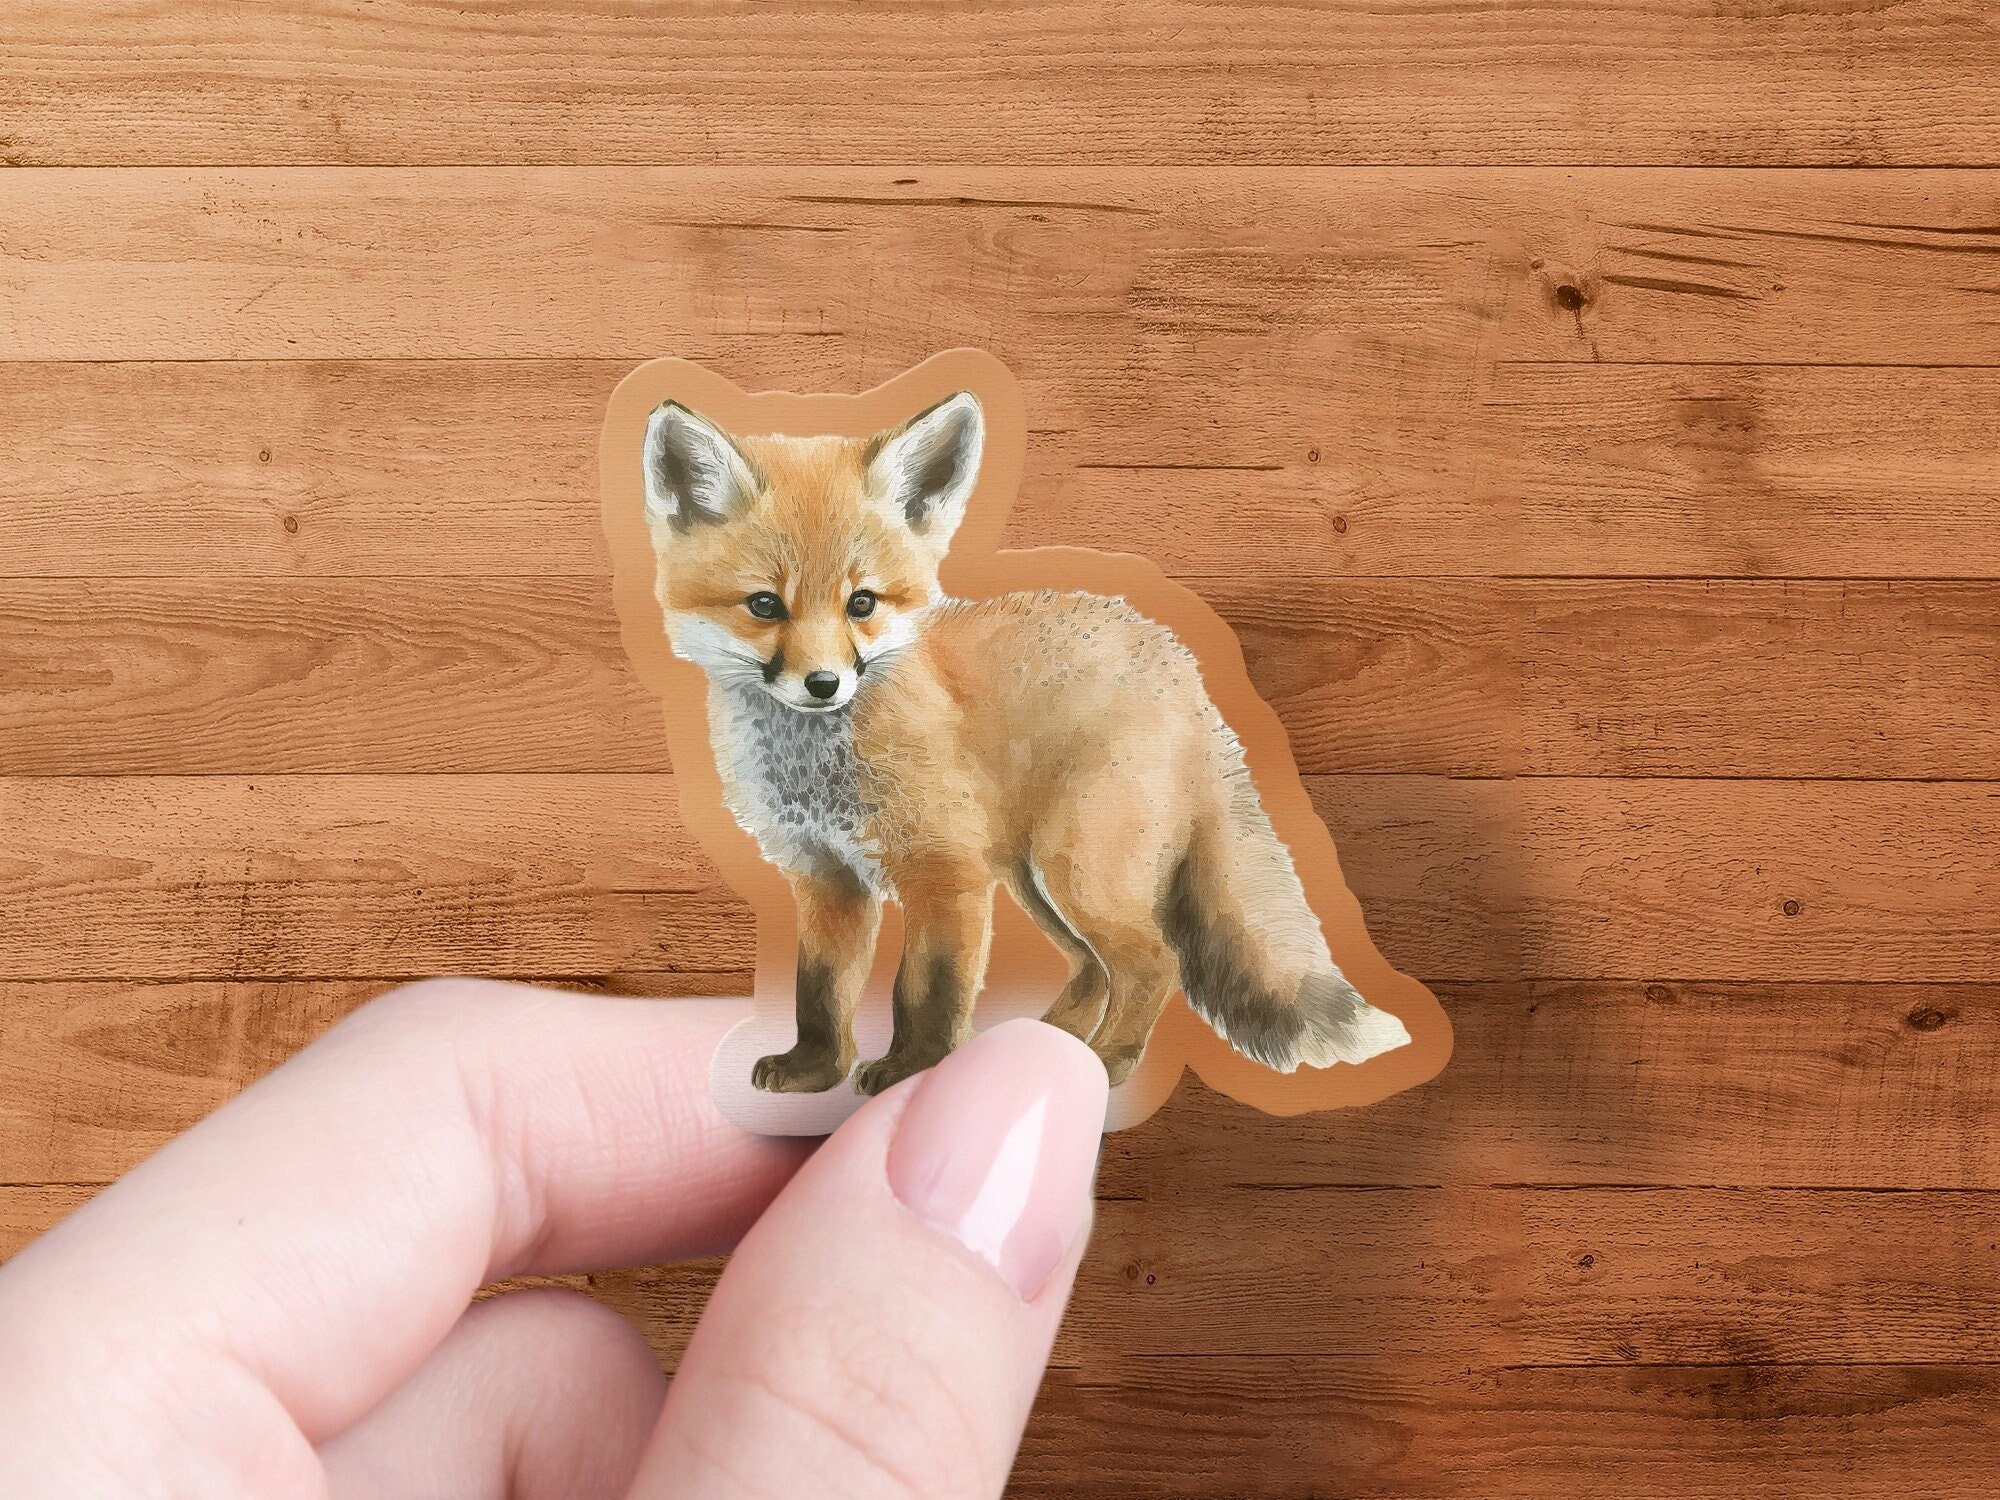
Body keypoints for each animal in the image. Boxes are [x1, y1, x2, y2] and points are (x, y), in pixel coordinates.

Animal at [641, 388, 1412, 1094]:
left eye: (862, 603)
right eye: (764, 605)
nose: (824, 683)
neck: (816, 766)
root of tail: (1182, 668)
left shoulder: (946, 872)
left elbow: (925, 990)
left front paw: (915, 1073)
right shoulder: (827, 877)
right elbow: (820, 990)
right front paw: (815, 1069)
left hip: (1078, 871)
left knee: (1153, 961)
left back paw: (1106, 1064)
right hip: (1033, 877)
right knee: (1093, 967)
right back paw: (1047, 1046)